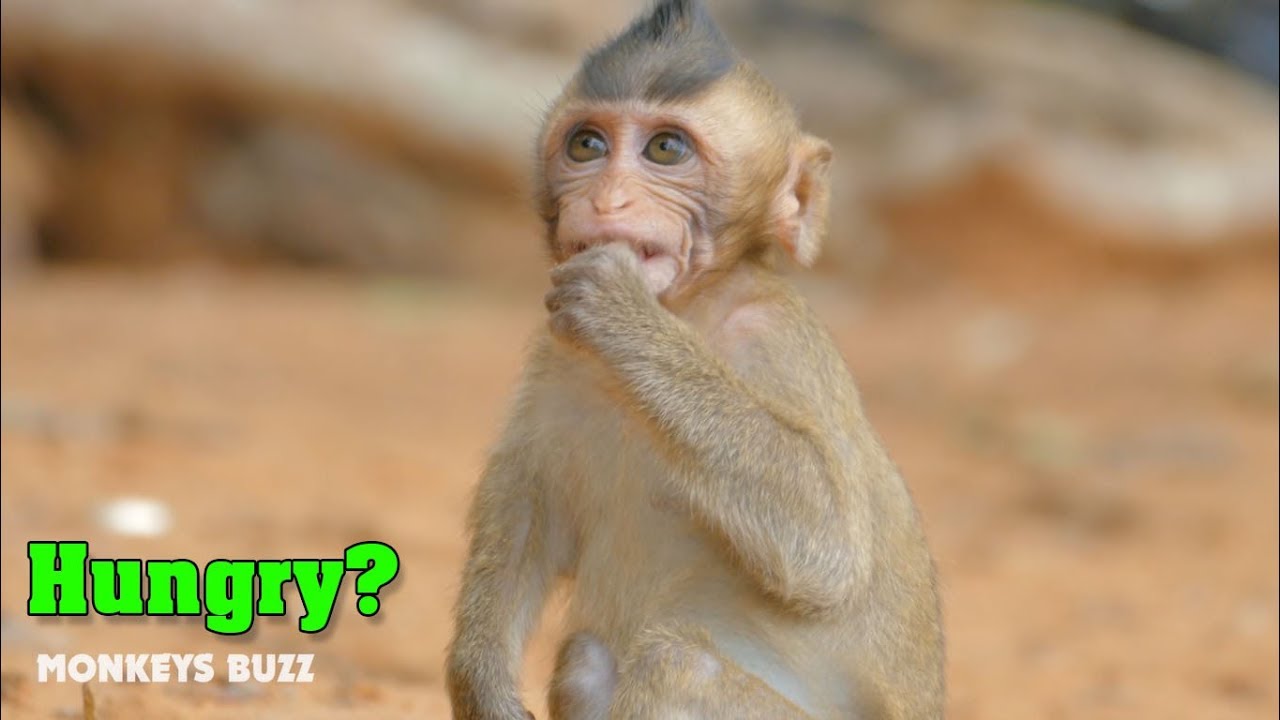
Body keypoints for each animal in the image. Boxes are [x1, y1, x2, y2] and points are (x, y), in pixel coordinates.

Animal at [445, 1, 944, 718]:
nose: (607, 199)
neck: (687, 311)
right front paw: (481, 682)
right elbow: (529, 514)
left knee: (677, 665)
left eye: (665, 149)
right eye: (587, 145)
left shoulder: (778, 338)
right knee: (585, 660)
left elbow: (829, 548)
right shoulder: (553, 353)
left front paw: (621, 311)